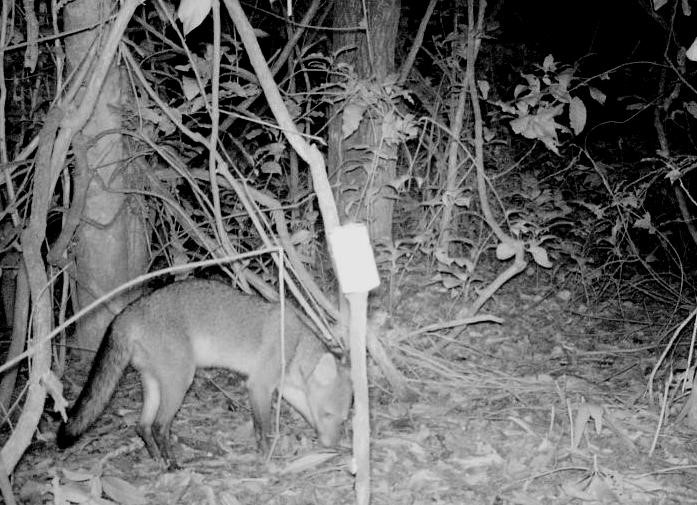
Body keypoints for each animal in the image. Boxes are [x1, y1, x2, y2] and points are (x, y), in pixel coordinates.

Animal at [56, 279, 352, 469]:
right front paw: (268, 457)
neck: (296, 342)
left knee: (142, 426)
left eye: (342, 420)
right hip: (180, 381)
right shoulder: (258, 386)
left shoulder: (281, 388)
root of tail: (126, 313)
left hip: (154, 384)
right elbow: (265, 429)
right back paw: (172, 464)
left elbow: (272, 423)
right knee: (159, 426)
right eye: (328, 414)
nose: (333, 445)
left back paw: (157, 460)